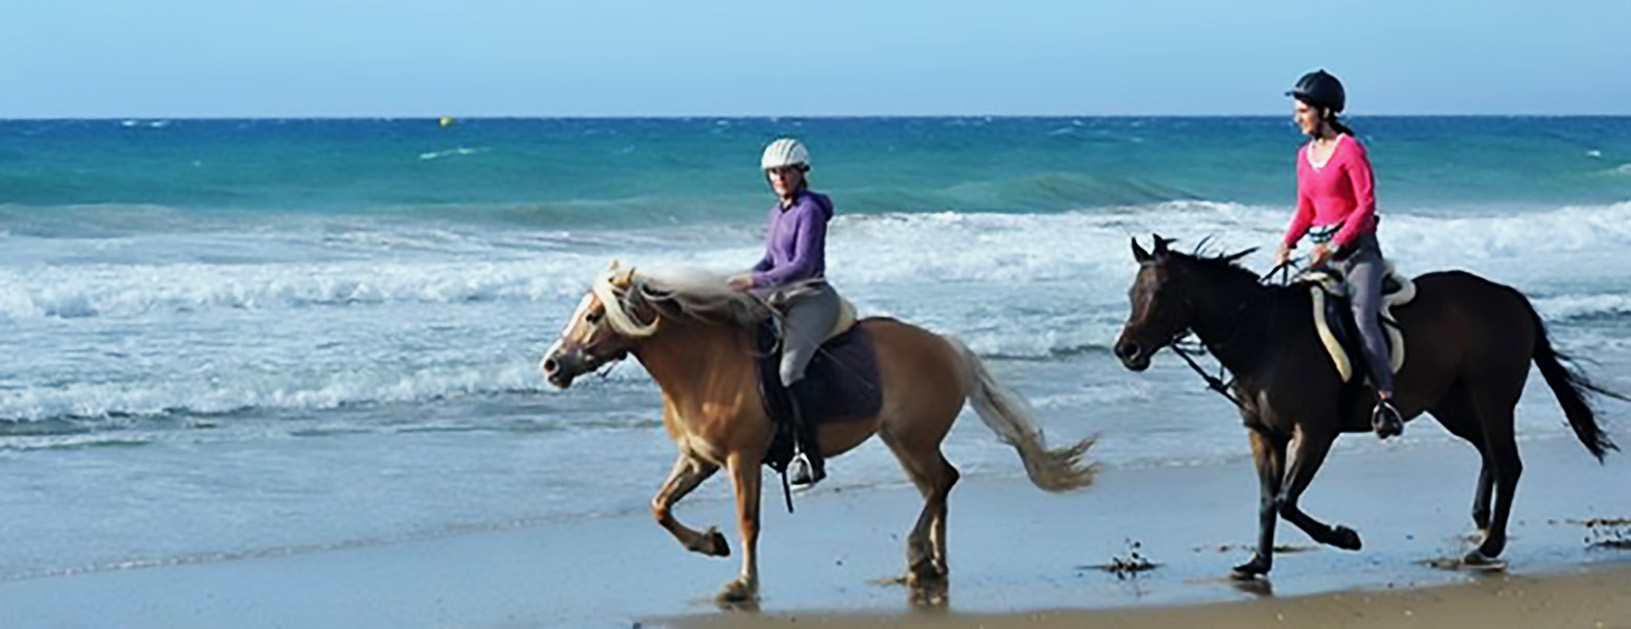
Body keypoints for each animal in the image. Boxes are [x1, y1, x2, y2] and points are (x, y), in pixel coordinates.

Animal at [539, 262, 1095, 604]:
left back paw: (920, 554)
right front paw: (710, 544)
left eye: (594, 315)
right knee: (939, 485)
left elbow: (749, 523)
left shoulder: (741, 458)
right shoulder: (699, 458)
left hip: (912, 439)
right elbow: (660, 507)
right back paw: (932, 561)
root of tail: (947, 346)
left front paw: (743, 585)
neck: (703, 366)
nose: (551, 365)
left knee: (941, 483)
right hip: (904, 442)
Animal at [1112, 235, 1619, 578]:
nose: (1126, 351)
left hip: (1493, 396)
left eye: (1160, 293)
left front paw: (1344, 537)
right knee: (1489, 454)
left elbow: (1287, 500)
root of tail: (1509, 296)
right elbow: (1267, 501)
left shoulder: (1315, 432)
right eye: (1131, 294)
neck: (1263, 337)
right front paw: (1257, 563)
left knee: (1508, 462)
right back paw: (1481, 521)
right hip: (1450, 404)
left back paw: (1488, 545)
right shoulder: (1263, 435)